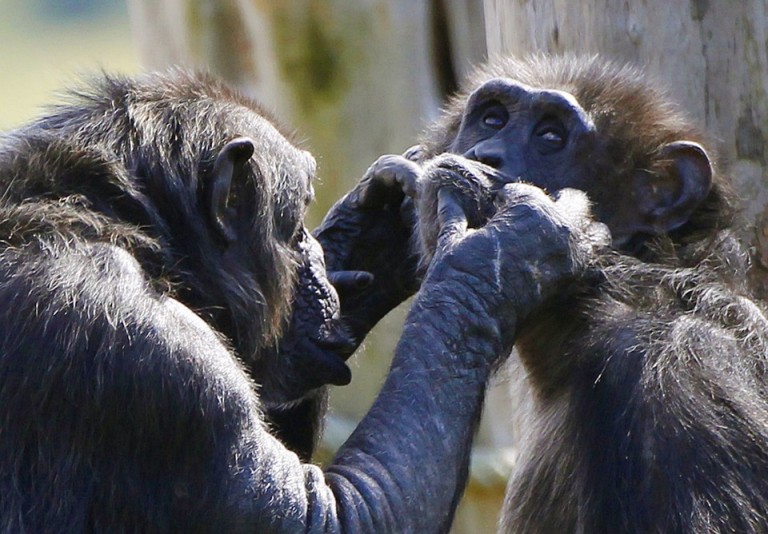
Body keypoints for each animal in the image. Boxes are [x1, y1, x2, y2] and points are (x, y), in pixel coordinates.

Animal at [0, 68, 603, 532]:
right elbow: (342, 514)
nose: (314, 253)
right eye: (297, 217)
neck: (140, 237)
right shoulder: (162, 368)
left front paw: (372, 224)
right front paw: (508, 248)